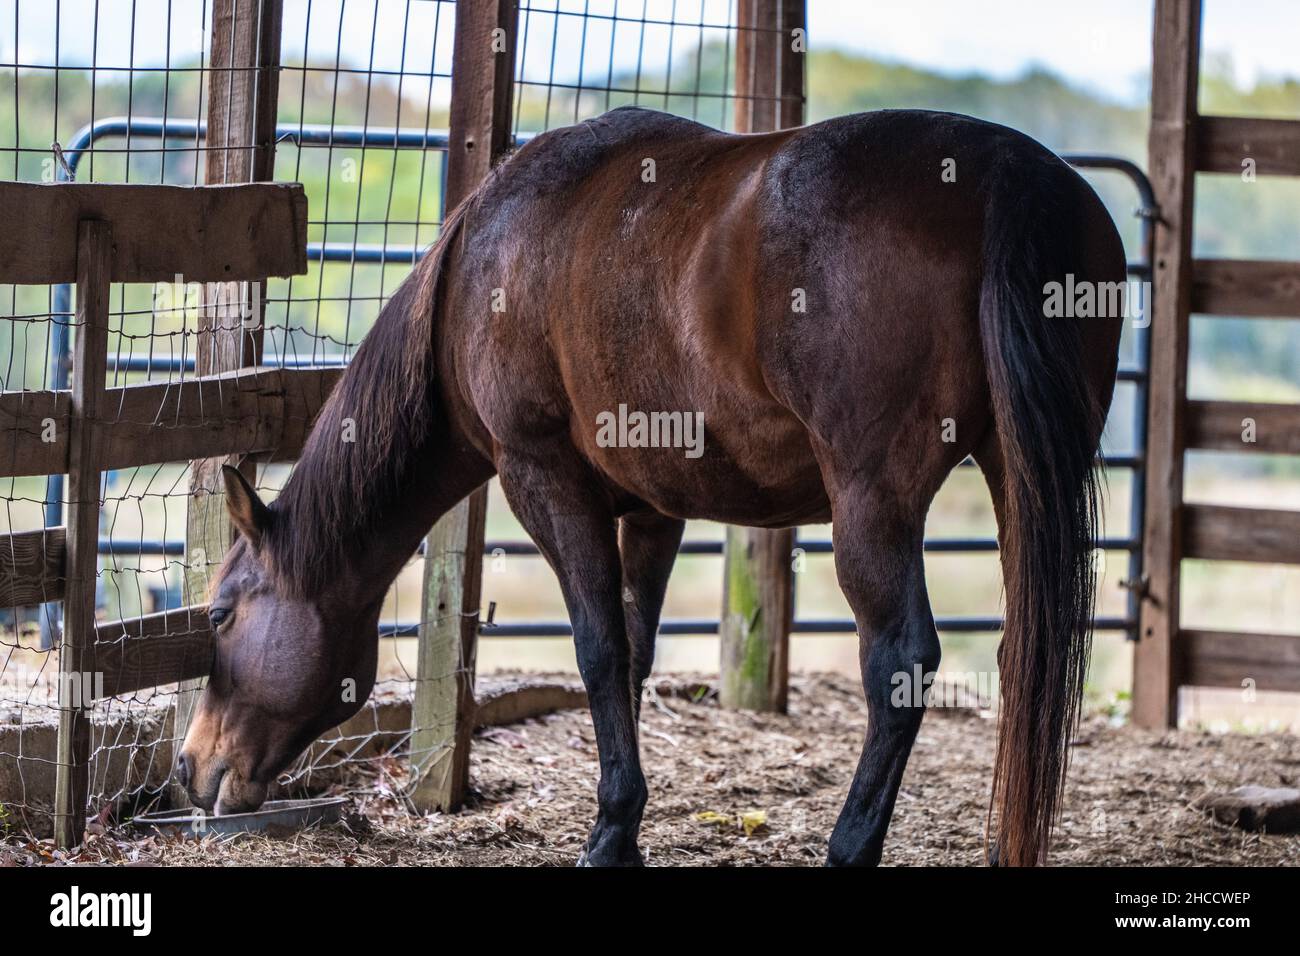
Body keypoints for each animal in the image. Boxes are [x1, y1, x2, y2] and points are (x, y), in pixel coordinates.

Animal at [176, 106, 1124, 866]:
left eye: (221, 616)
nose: (190, 767)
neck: (480, 266)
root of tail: (1005, 178)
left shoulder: (547, 484)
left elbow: (598, 652)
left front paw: (608, 832)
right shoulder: (656, 512)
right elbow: (633, 651)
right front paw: (625, 826)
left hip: (873, 506)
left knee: (901, 662)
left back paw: (850, 845)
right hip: (1020, 480)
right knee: (1027, 653)